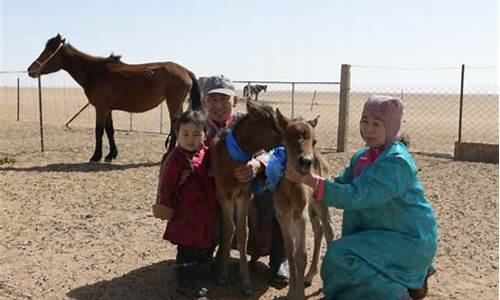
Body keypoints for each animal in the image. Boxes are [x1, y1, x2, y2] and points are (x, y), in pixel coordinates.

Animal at [26, 34, 199, 162]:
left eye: (49, 51)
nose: (30, 70)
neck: (94, 72)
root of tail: (184, 70)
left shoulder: (100, 108)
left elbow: (98, 131)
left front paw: (96, 156)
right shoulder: (107, 109)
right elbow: (109, 131)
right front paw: (111, 155)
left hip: (173, 102)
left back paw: (167, 154)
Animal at [209, 101, 284, 296]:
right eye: (274, 128)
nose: (285, 147)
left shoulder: (244, 194)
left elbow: (242, 232)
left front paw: (245, 282)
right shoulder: (223, 194)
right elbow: (229, 229)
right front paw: (223, 274)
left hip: (254, 203)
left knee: (255, 228)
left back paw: (253, 263)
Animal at [272, 110, 334, 300]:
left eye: (314, 141)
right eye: (288, 137)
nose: (306, 162)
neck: (290, 190)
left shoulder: (300, 217)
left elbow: (300, 255)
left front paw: (298, 294)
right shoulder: (282, 217)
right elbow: (289, 251)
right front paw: (291, 290)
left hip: (320, 203)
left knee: (328, 230)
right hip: (311, 208)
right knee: (319, 230)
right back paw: (309, 276)